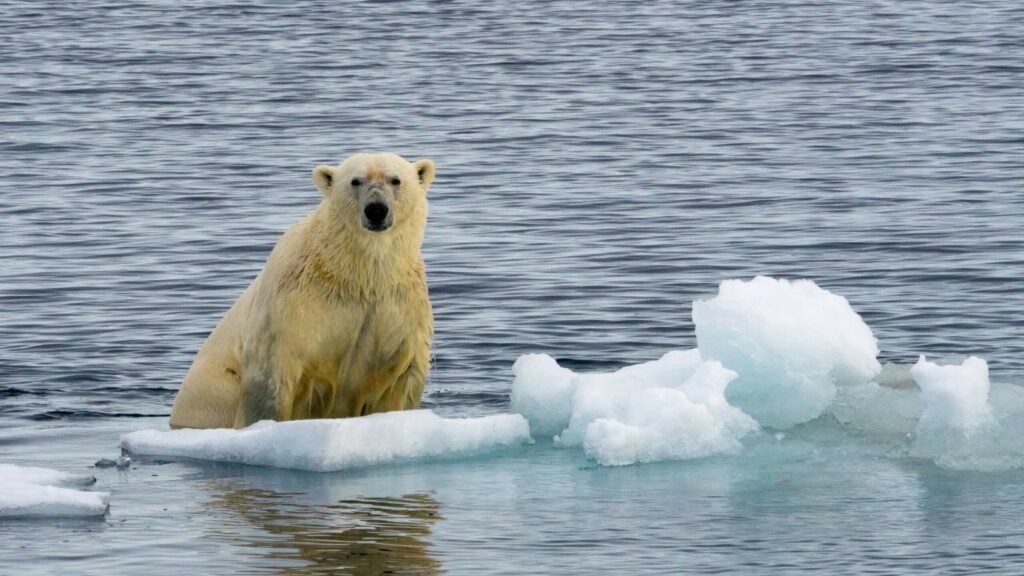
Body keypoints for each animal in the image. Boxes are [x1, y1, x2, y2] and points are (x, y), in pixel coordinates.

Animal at [169, 152, 436, 429]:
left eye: (395, 180)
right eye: (355, 181)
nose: (376, 210)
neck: (357, 275)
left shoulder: (397, 304)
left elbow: (400, 376)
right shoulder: (294, 306)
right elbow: (273, 373)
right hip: (214, 392)